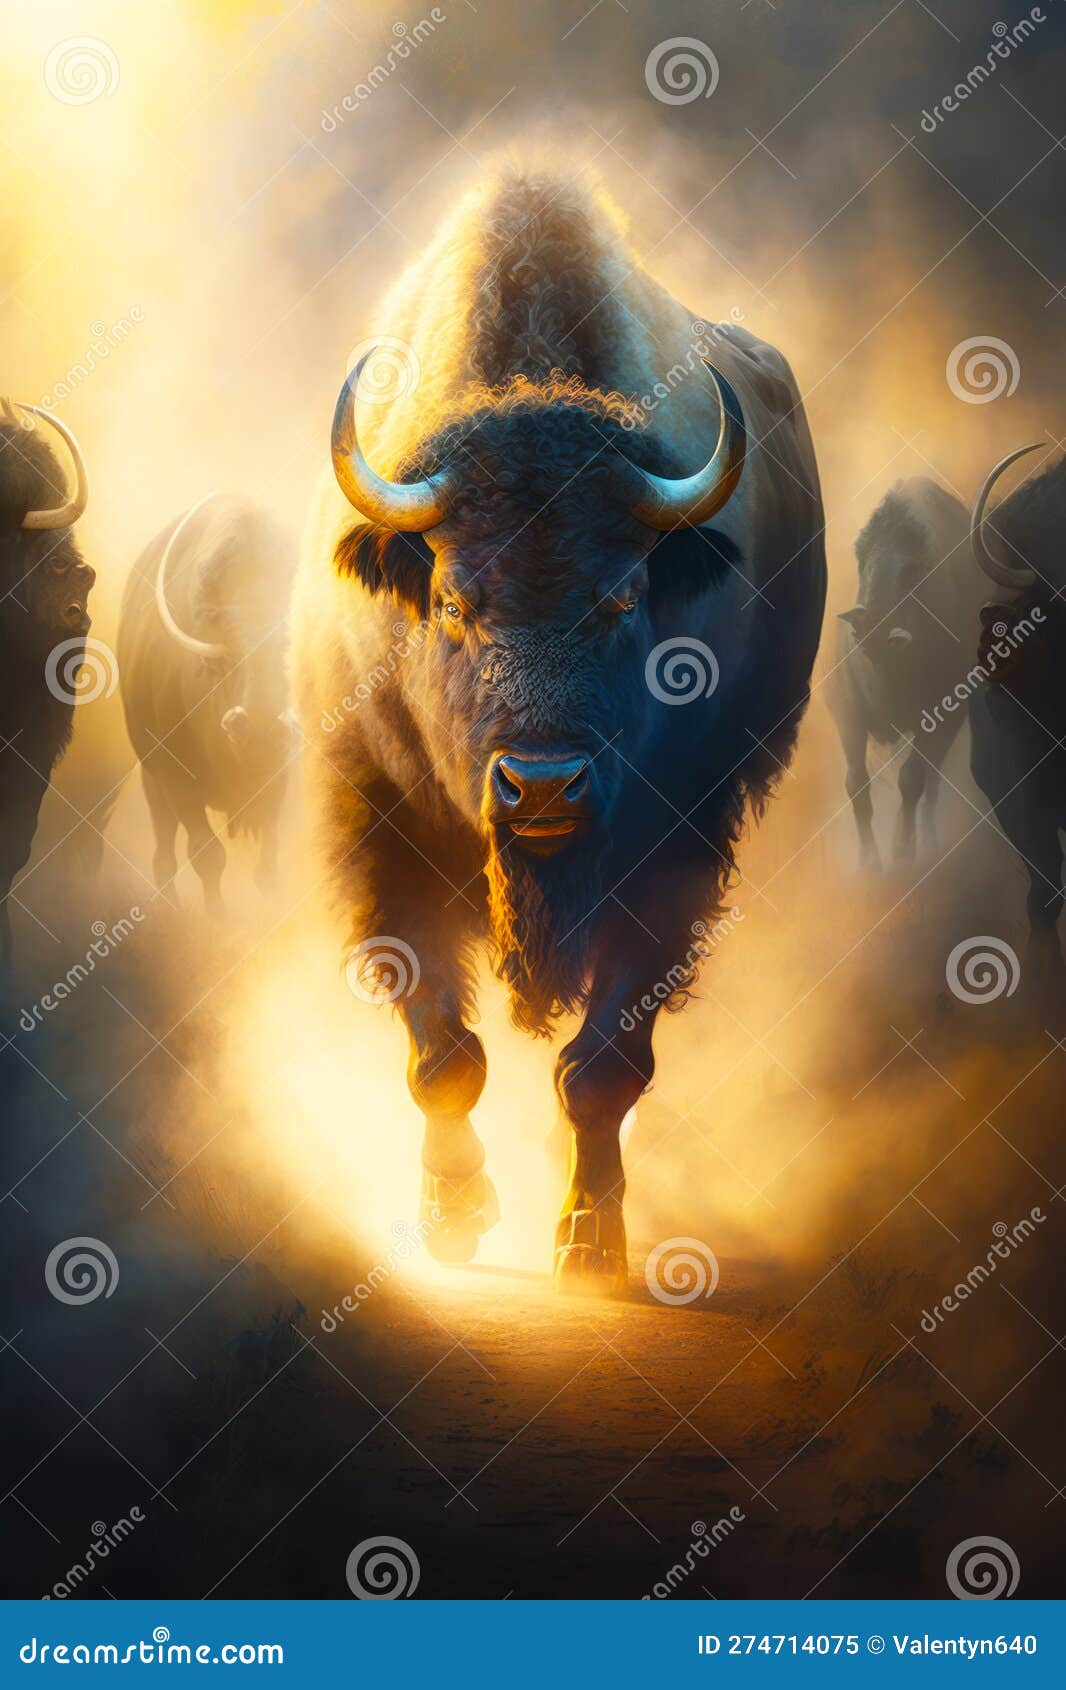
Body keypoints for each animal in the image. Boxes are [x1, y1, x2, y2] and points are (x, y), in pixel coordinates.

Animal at [117, 495, 294, 915]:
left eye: (283, 650)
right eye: (227, 660)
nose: (260, 727)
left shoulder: (281, 776)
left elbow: (269, 860)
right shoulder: (176, 782)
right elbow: (207, 854)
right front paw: (218, 917)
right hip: (152, 782)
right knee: (164, 852)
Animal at [292, 167, 826, 1295]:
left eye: (623, 594)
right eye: (453, 600)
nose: (541, 786)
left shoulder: (680, 843)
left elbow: (605, 1065)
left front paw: (589, 1238)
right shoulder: (380, 824)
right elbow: (443, 1053)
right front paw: (453, 1217)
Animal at [828, 478, 982, 869]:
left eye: (914, 569)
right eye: (862, 558)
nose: (870, 629)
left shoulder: (944, 717)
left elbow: (913, 779)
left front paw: (902, 851)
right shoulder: (847, 713)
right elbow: (856, 785)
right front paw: (869, 861)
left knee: (933, 782)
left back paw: (927, 840)